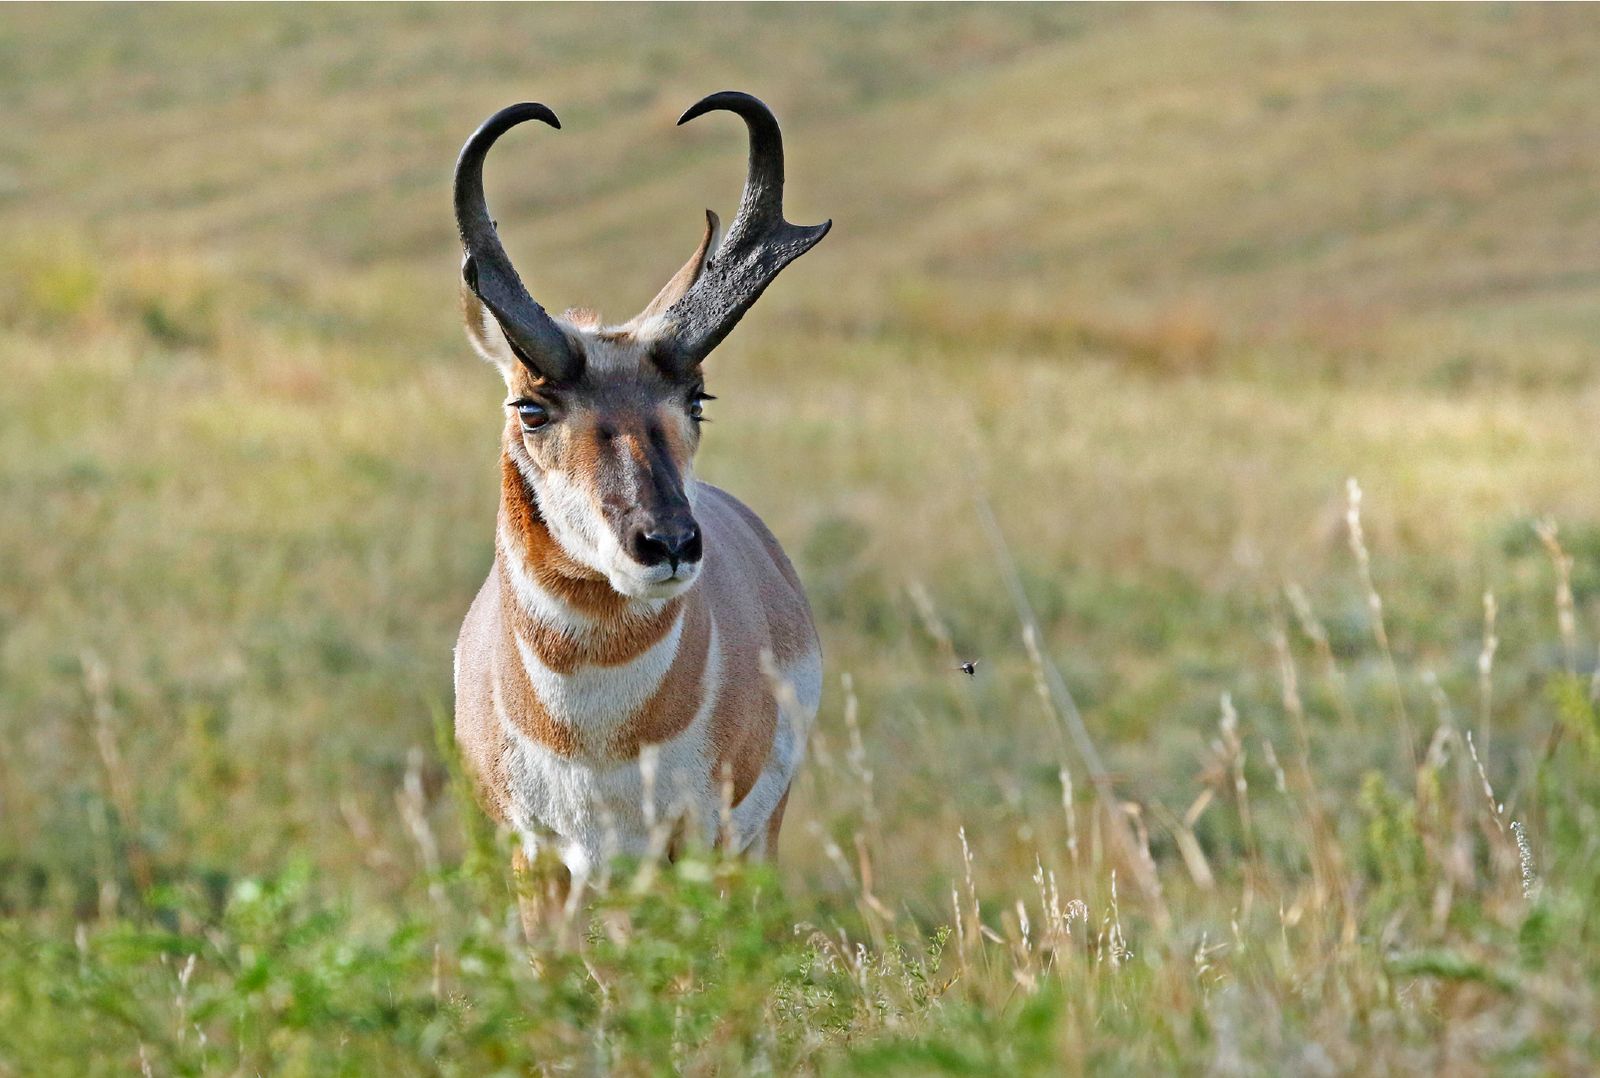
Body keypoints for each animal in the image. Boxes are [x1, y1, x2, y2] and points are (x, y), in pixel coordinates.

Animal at [451, 92, 829, 917]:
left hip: (753, 840)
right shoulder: (539, 857)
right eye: (531, 407)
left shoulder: (698, 844)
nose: (670, 544)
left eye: (696, 398)